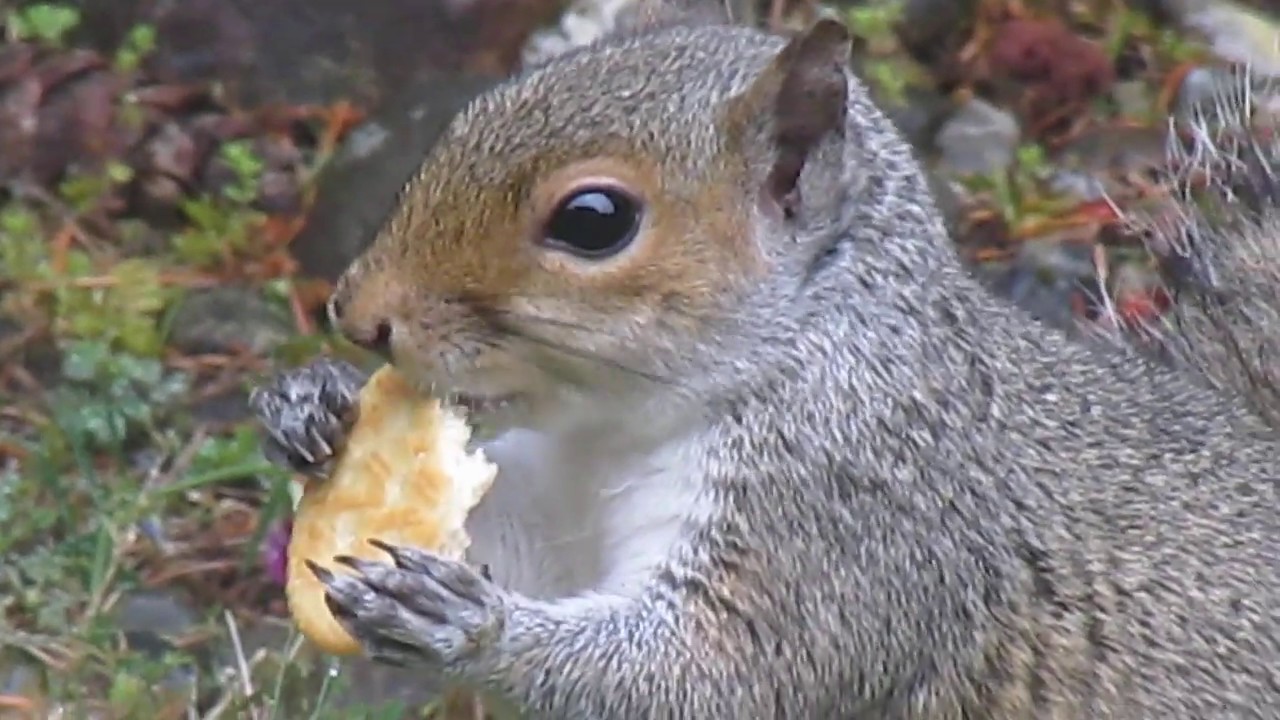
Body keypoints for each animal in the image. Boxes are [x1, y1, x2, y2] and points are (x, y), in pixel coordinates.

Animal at [249, 1, 1280, 716]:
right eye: (473, 113)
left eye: (594, 220)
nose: (356, 316)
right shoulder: (574, 504)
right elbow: (517, 542)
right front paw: (313, 412)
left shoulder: (854, 524)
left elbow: (718, 675)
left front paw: (469, 628)